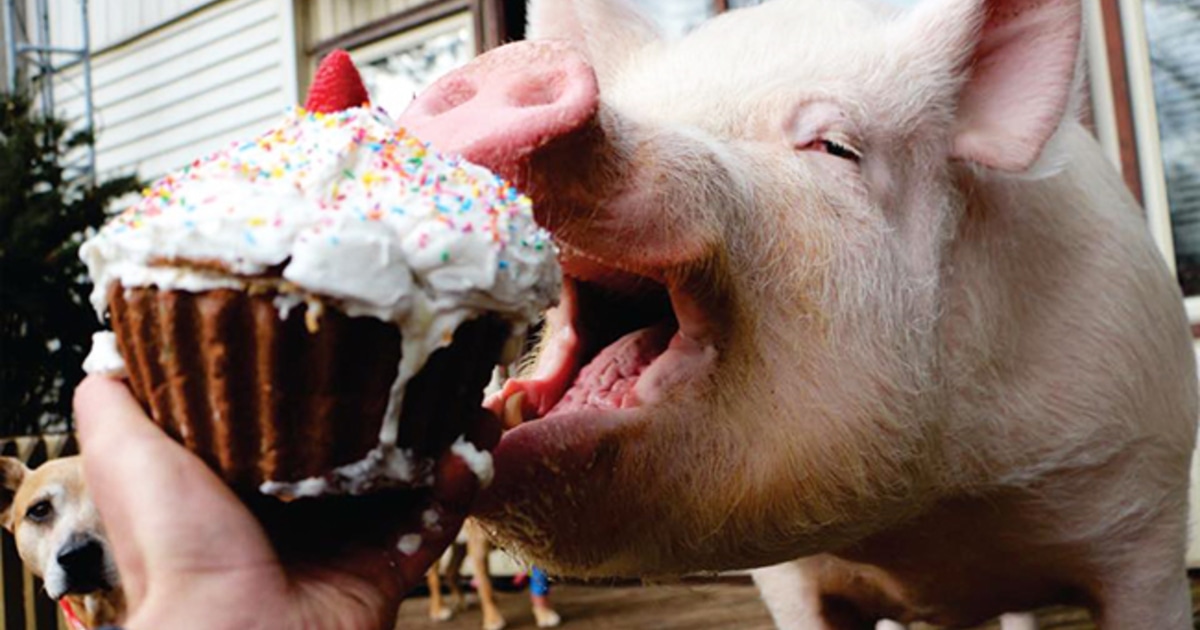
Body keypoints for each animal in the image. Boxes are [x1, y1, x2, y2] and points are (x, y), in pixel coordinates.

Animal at [397, 0, 1198, 628]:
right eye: (644, 101)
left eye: (834, 146)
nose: (514, 67)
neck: (927, 514)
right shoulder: (790, 581)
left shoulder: (1146, 516)